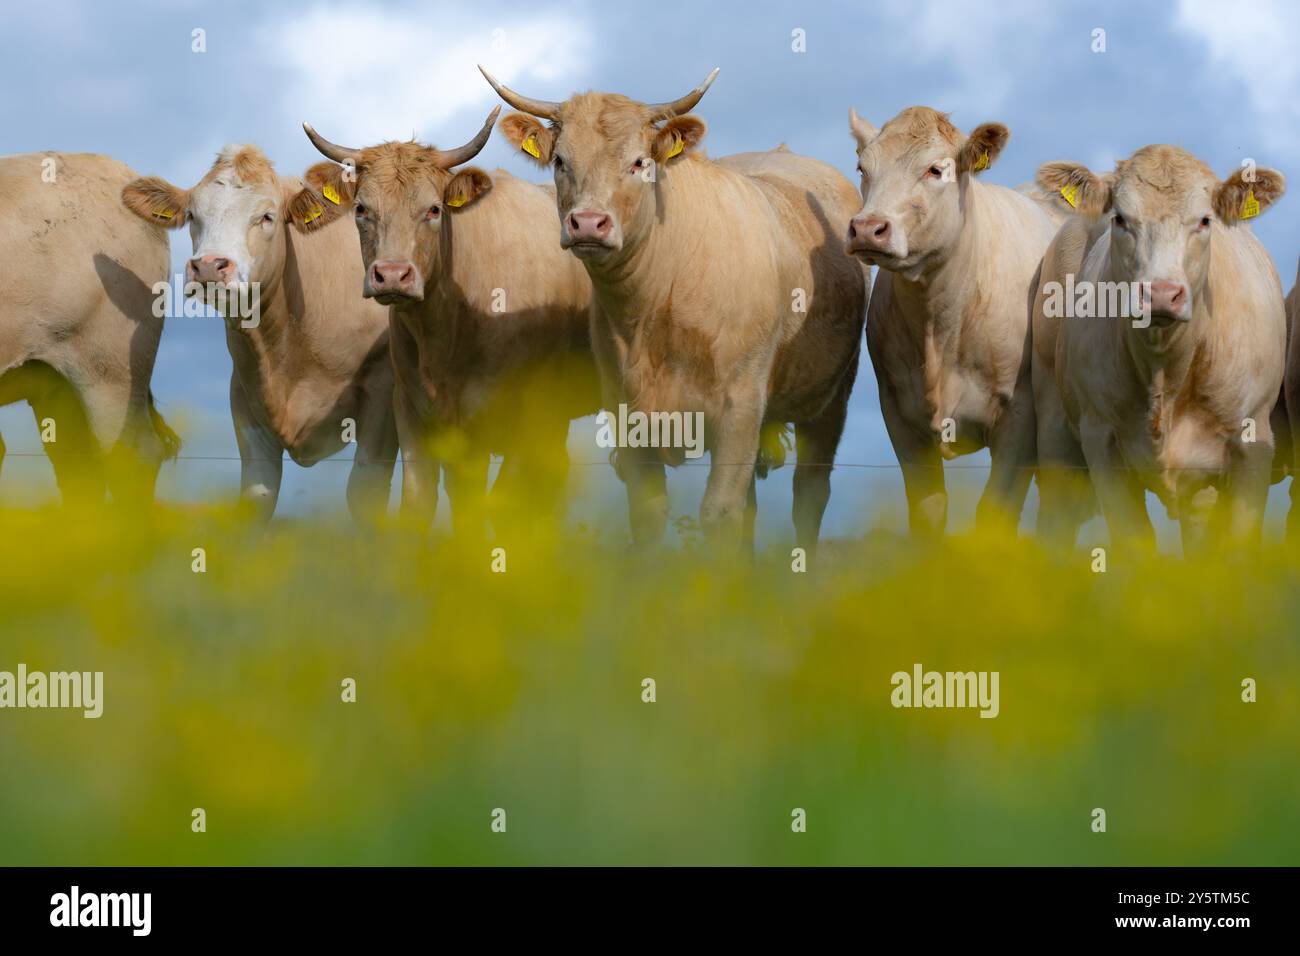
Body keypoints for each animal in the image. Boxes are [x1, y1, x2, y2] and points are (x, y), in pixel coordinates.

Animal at [120, 145, 397, 523]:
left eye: (267, 216)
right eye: (192, 215)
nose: (209, 266)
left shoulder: (383, 394)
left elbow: (365, 496)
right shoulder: (245, 398)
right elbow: (257, 499)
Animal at [299, 109, 600, 537]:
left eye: (434, 209)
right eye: (361, 209)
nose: (392, 275)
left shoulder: (524, 415)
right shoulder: (412, 410)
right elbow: (421, 503)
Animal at [482, 67, 868, 553]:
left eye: (638, 162)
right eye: (560, 161)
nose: (588, 223)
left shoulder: (740, 407)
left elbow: (720, 513)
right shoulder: (626, 412)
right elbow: (650, 515)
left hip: (831, 401)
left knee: (809, 498)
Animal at [845, 106, 1063, 537]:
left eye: (935, 170)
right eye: (863, 167)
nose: (867, 228)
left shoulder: (1020, 420)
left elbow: (993, 517)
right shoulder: (899, 417)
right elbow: (928, 513)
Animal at [1032, 145, 1286, 551]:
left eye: (1205, 220)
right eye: (1120, 218)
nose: (1162, 294)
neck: (1166, 373)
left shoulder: (1253, 445)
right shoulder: (1100, 442)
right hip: (1055, 428)